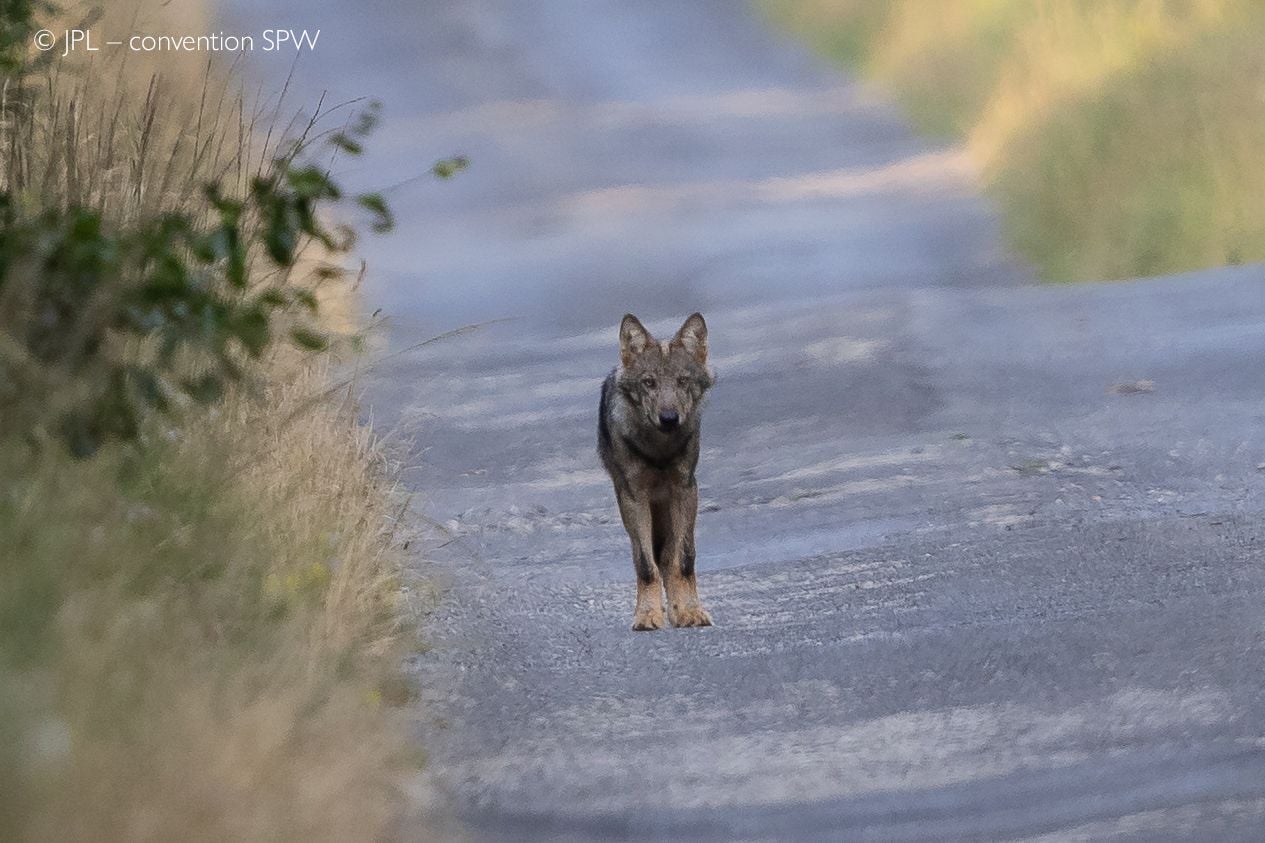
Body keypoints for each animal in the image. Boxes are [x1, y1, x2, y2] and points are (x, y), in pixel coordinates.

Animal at [598, 312, 714, 630]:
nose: (669, 418)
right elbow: (645, 565)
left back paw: (678, 611)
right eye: (648, 382)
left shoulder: (685, 489)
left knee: (669, 558)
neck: (659, 449)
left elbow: (684, 561)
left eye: (682, 381)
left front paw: (690, 610)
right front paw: (647, 615)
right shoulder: (634, 498)